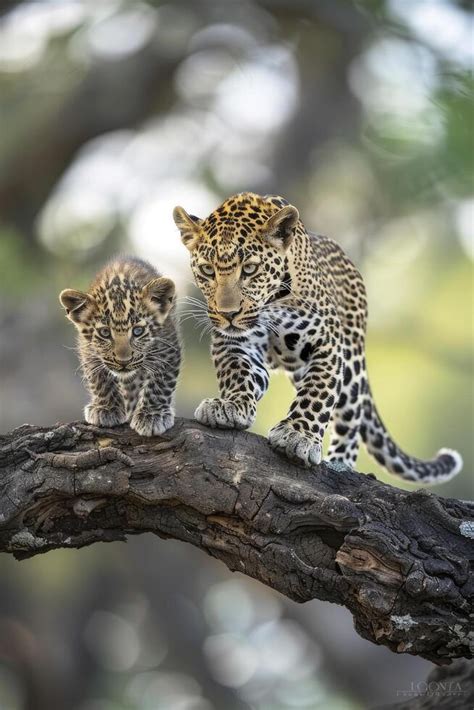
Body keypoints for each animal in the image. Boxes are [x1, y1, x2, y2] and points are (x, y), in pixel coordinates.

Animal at [60, 256, 181, 437]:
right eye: (105, 333)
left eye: (138, 331)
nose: (124, 361)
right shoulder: (88, 350)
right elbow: (99, 380)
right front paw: (107, 409)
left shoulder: (168, 347)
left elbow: (160, 384)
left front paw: (152, 415)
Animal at [173, 192, 462, 483]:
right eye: (208, 271)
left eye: (250, 269)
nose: (228, 314)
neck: (272, 301)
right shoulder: (235, 342)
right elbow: (237, 372)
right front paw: (229, 405)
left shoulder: (328, 344)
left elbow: (318, 392)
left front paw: (298, 435)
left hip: (352, 365)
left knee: (352, 415)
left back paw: (340, 462)